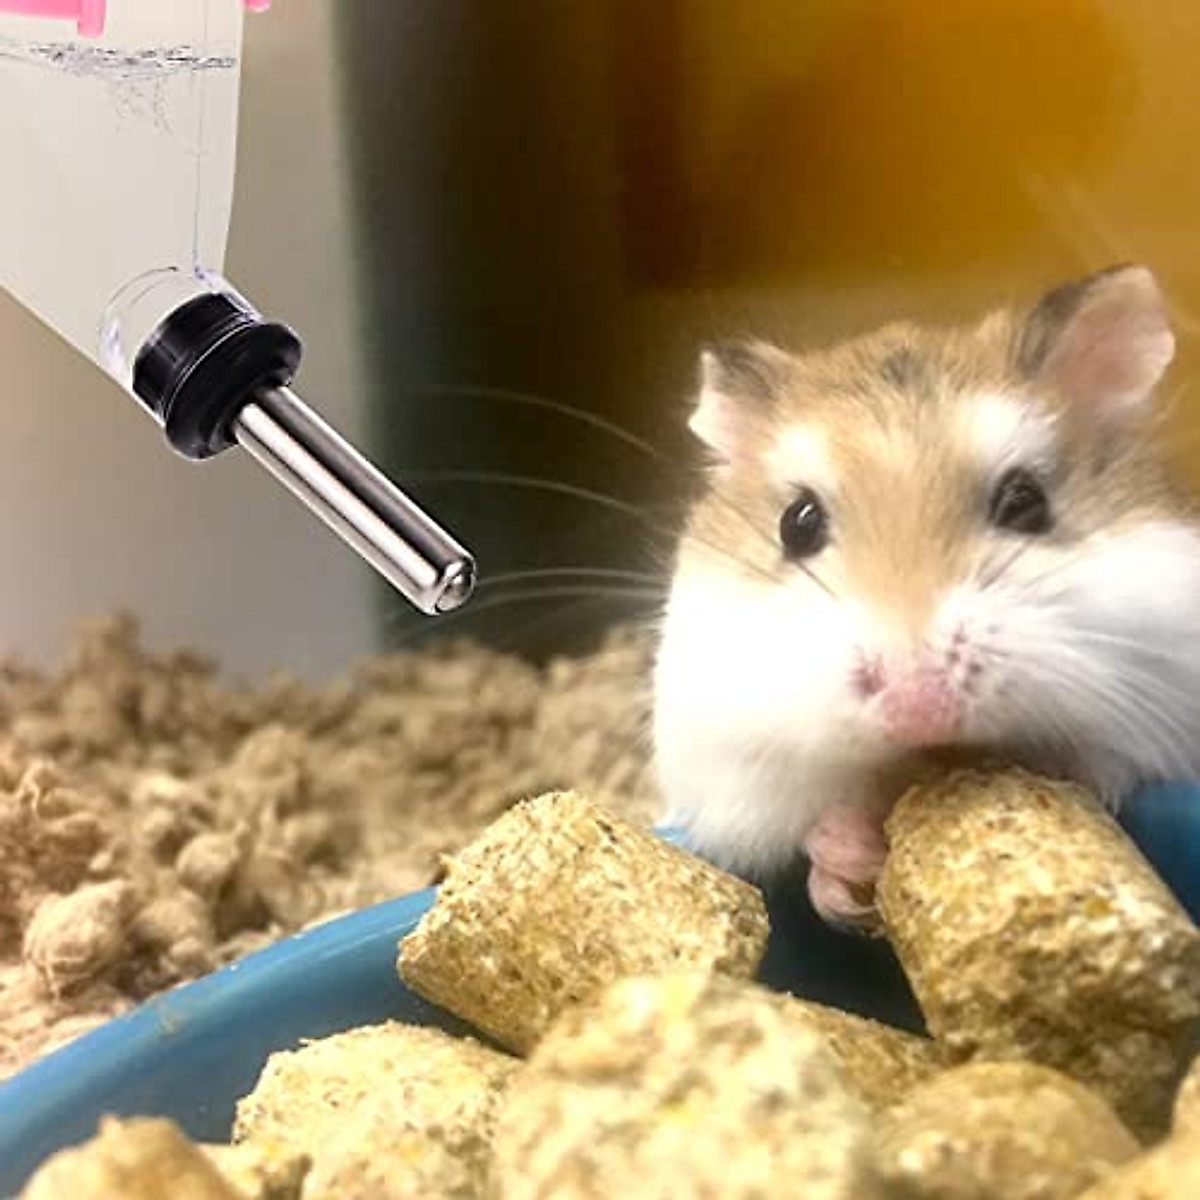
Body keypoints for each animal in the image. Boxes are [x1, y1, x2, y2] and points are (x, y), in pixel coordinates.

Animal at [653, 264, 1200, 929]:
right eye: (796, 524)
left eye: (1026, 502)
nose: (919, 706)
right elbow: (812, 828)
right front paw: (847, 865)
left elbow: (1104, 761)